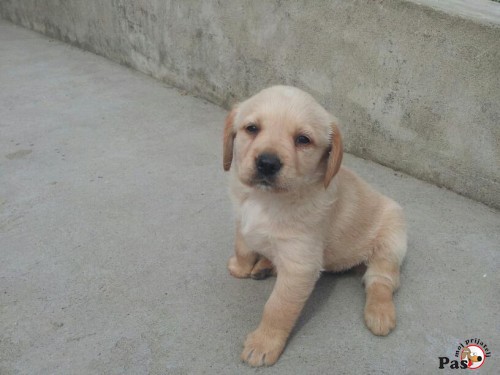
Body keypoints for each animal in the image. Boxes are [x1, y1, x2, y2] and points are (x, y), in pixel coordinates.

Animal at [223, 85, 406, 368]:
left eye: (303, 140)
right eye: (251, 128)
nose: (267, 163)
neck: (264, 200)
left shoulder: (300, 265)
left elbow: (278, 307)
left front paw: (264, 343)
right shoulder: (241, 221)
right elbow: (242, 247)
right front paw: (241, 267)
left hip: (392, 239)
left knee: (381, 280)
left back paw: (379, 312)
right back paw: (264, 265)